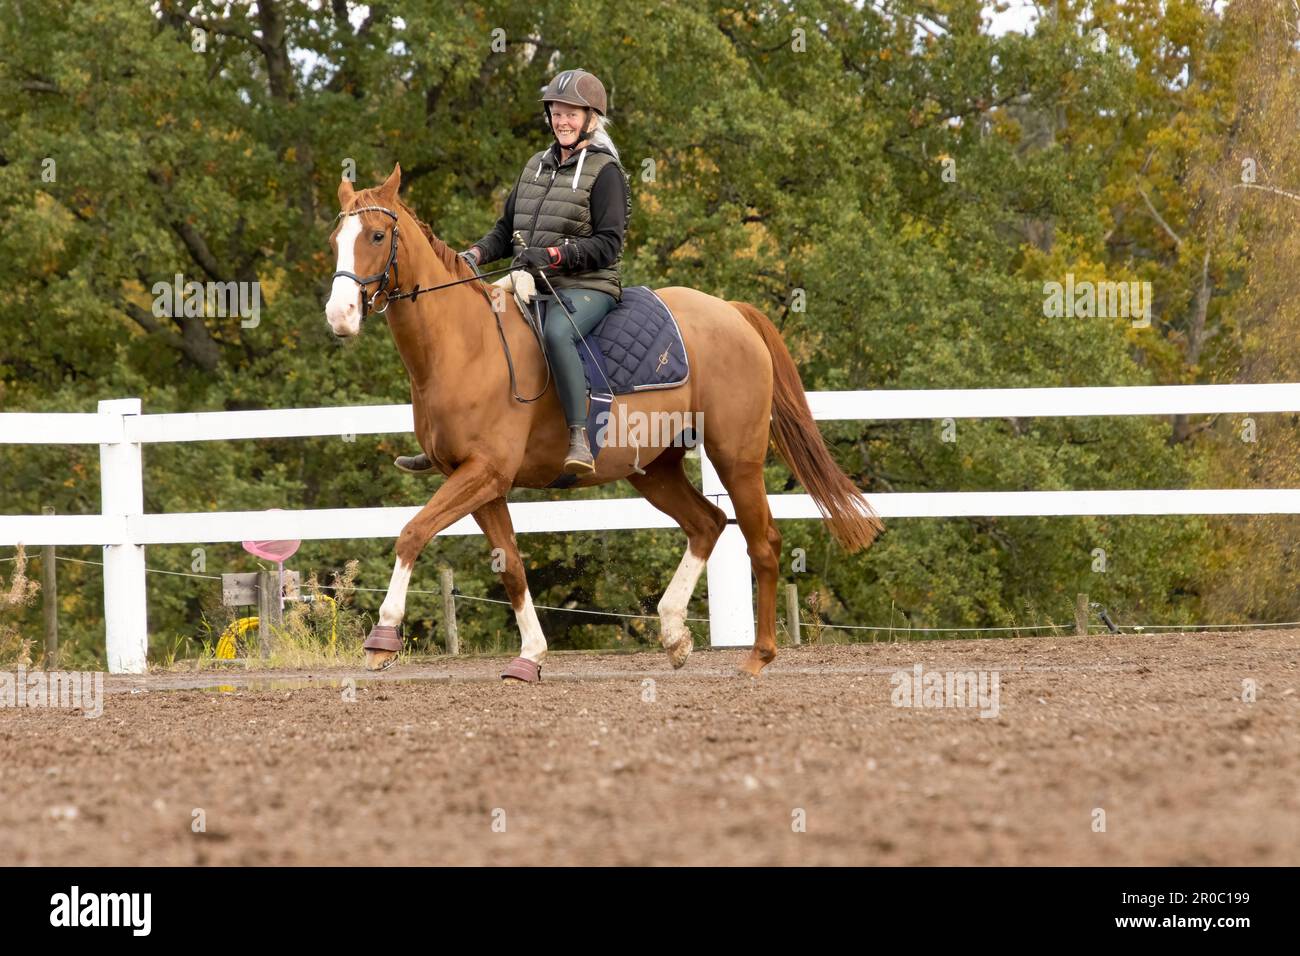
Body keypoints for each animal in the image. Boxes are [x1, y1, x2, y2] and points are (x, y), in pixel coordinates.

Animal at [324, 164, 882, 680]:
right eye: (335, 242)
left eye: (376, 236)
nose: (339, 315)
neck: (467, 345)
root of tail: (731, 311)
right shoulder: (481, 483)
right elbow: (512, 566)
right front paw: (530, 657)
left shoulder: (484, 473)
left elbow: (411, 533)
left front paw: (383, 637)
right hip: (653, 470)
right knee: (708, 523)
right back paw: (674, 633)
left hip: (735, 458)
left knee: (762, 542)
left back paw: (757, 657)